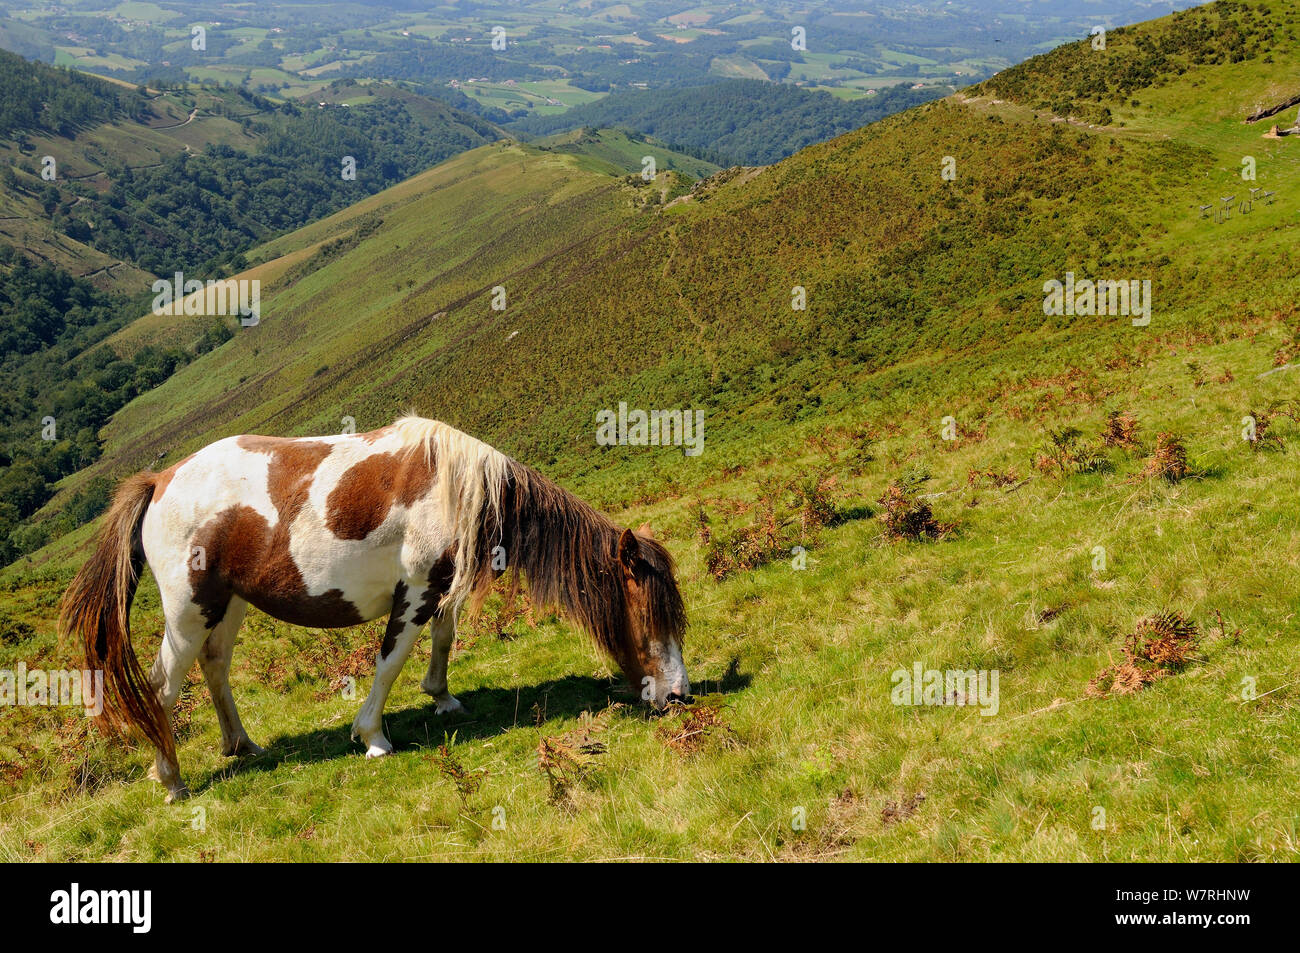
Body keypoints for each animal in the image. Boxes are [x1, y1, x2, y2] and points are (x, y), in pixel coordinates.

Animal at [60, 416, 689, 802]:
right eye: (648, 617)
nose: (679, 694)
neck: (459, 486)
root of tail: (158, 481)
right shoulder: (415, 592)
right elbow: (390, 663)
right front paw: (373, 737)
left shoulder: (440, 587)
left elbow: (442, 640)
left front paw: (442, 697)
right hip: (189, 614)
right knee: (163, 688)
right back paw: (171, 779)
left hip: (228, 606)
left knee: (215, 668)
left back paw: (240, 745)